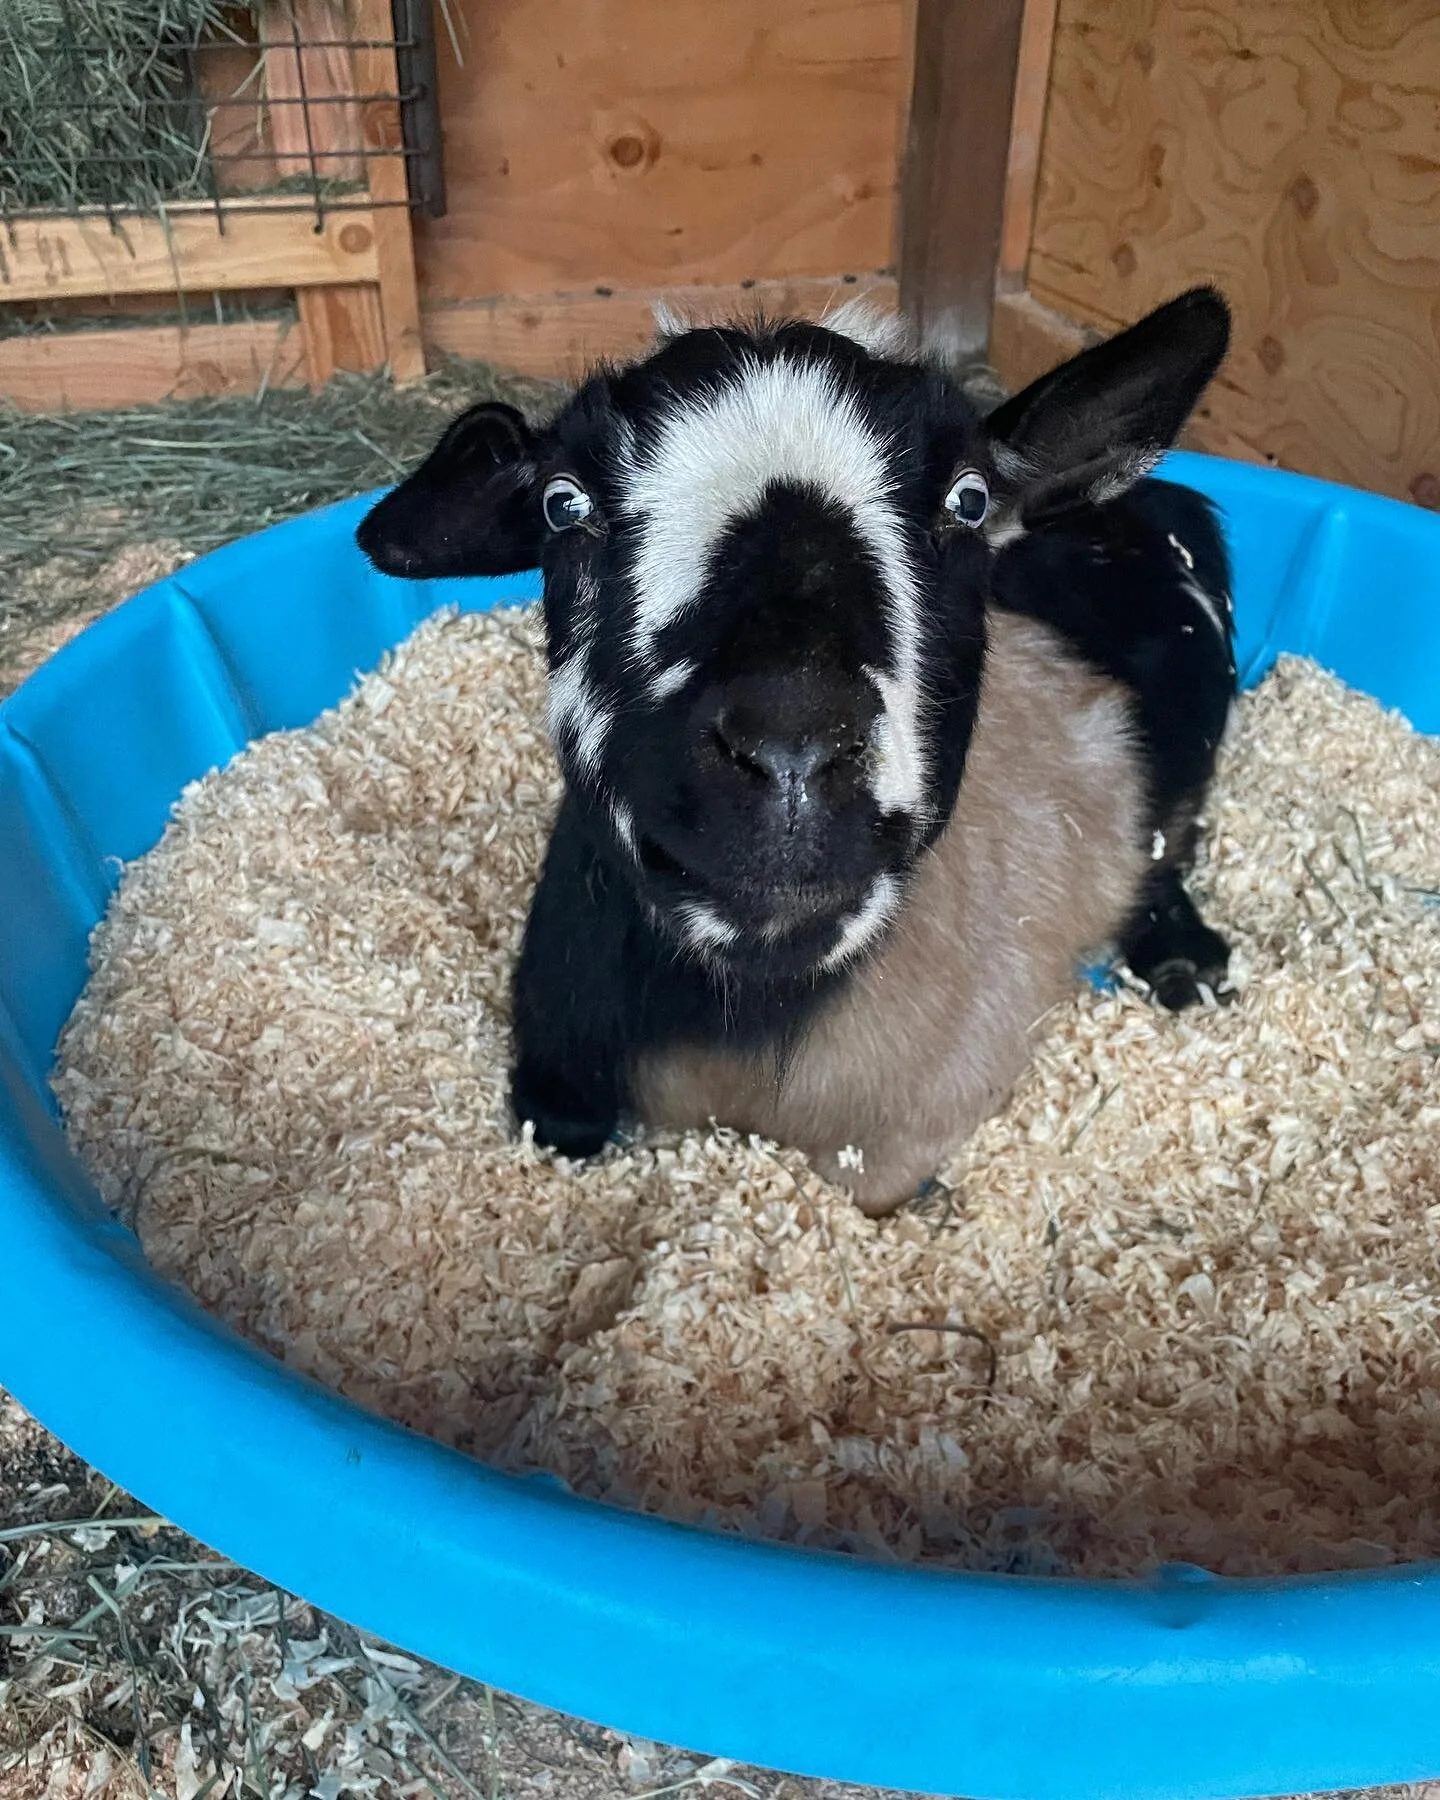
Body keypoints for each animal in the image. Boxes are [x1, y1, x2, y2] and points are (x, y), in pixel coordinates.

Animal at [357, 287, 1236, 1214]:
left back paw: (1186, 962)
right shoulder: (553, 1073)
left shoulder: (917, 1120)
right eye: (564, 505)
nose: (790, 747)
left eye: (968, 500)